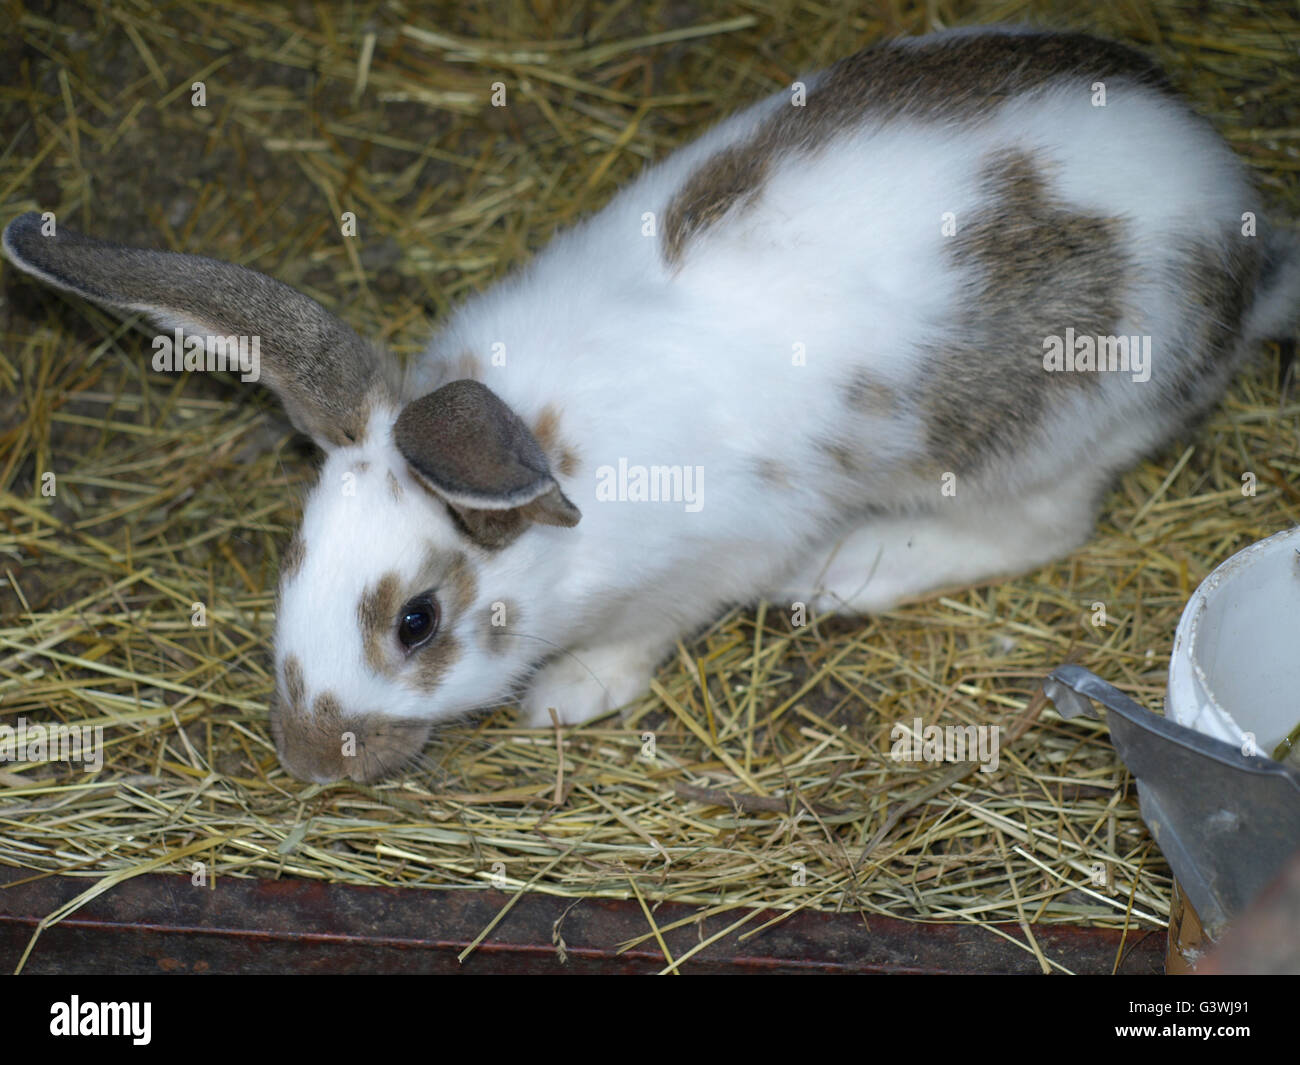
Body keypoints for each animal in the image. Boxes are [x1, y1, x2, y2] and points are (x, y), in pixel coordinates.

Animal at [6, 25, 1299, 785]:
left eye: (416, 622)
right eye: (293, 558)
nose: (310, 759)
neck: (558, 477)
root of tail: (1247, 246)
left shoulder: (716, 555)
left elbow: (648, 632)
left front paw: (568, 696)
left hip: (1059, 426)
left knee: (1045, 525)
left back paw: (852, 570)